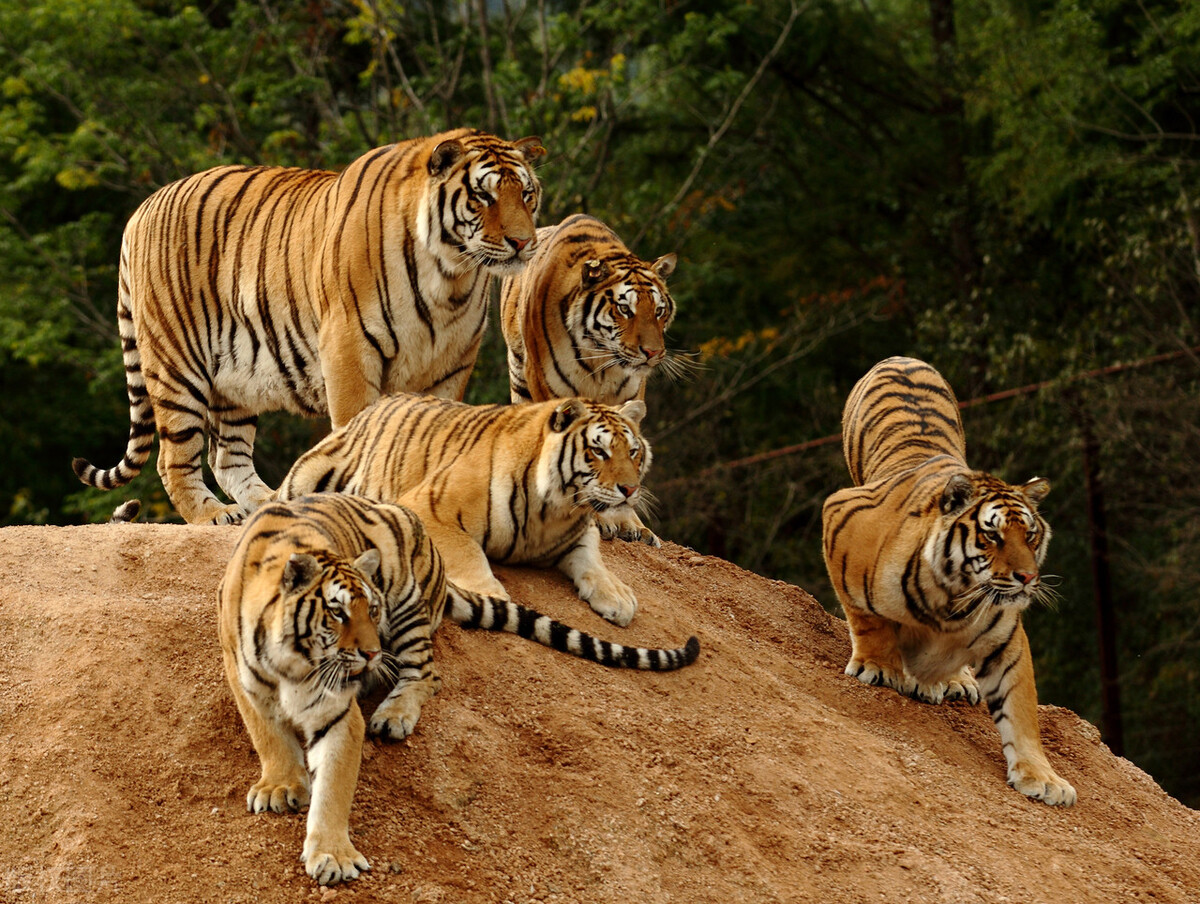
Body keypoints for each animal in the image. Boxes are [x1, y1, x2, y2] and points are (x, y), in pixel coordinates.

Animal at [72, 128, 545, 526]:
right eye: (482, 197)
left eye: (526, 194)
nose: (524, 242)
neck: (450, 275)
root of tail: (143, 208)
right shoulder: (350, 345)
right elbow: (357, 429)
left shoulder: (451, 362)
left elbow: (432, 436)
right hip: (176, 362)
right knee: (173, 456)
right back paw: (213, 515)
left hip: (235, 375)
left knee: (227, 457)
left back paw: (268, 503)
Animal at [218, 493, 699, 885]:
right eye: (336, 613)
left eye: (371, 609)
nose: (371, 653)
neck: (295, 663)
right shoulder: (246, 682)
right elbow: (268, 736)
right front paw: (279, 787)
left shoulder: (337, 710)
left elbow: (334, 788)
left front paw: (333, 855)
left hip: (408, 602)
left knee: (425, 674)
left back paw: (392, 715)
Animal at [276, 392, 655, 626]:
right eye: (599, 450)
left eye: (633, 451)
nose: (629, 489)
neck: (553, 510)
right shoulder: (429, 508)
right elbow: (469, 555)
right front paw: (492, 595)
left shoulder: (579, 531)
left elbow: (594, 561)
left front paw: (618, 597)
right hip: (305, 474)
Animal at [498, 213, 678, 545]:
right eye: (625, 309)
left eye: (659, 311)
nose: (653, 353)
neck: (602, 361)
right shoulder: (546, 386)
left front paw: (630, 524)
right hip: (519, 375)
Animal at [821, 356, 1076, 806]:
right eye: (993, 535)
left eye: (1030, 535)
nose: (1027, 577)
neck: (953, 596)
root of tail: (901, 357)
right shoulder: (841, 517)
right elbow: (866, 618)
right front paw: (880, 667)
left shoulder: (1006, 641)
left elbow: (1021, 708)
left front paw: (1043, 778)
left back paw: (952, 681)